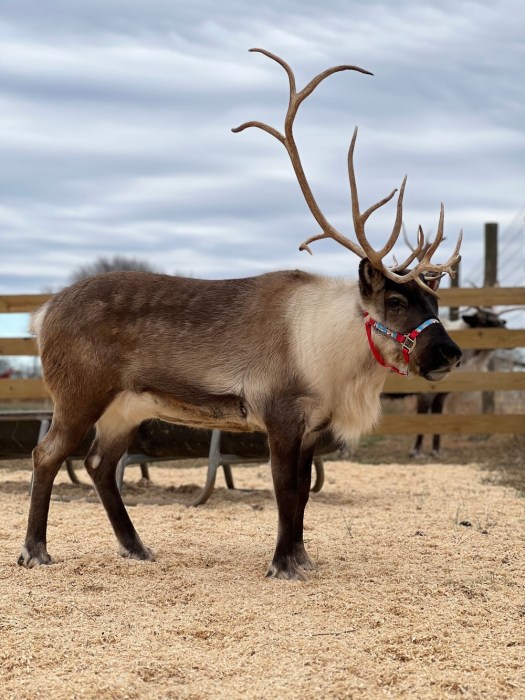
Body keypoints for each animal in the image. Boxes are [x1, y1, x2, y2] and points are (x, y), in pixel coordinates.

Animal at [19, 48, 462, 580]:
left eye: (434, 303)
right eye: (396, 302)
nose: (450, 354)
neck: (325, 348)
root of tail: (44, 312)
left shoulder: (313, 427)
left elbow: (302, 499)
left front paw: (301, 558)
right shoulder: (281, 417)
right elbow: (285, 492)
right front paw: (282, 565)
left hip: (127, 408)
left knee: (99, 464)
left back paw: (136, 547)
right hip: (79, 395)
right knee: (46, 454)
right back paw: (35, 550)